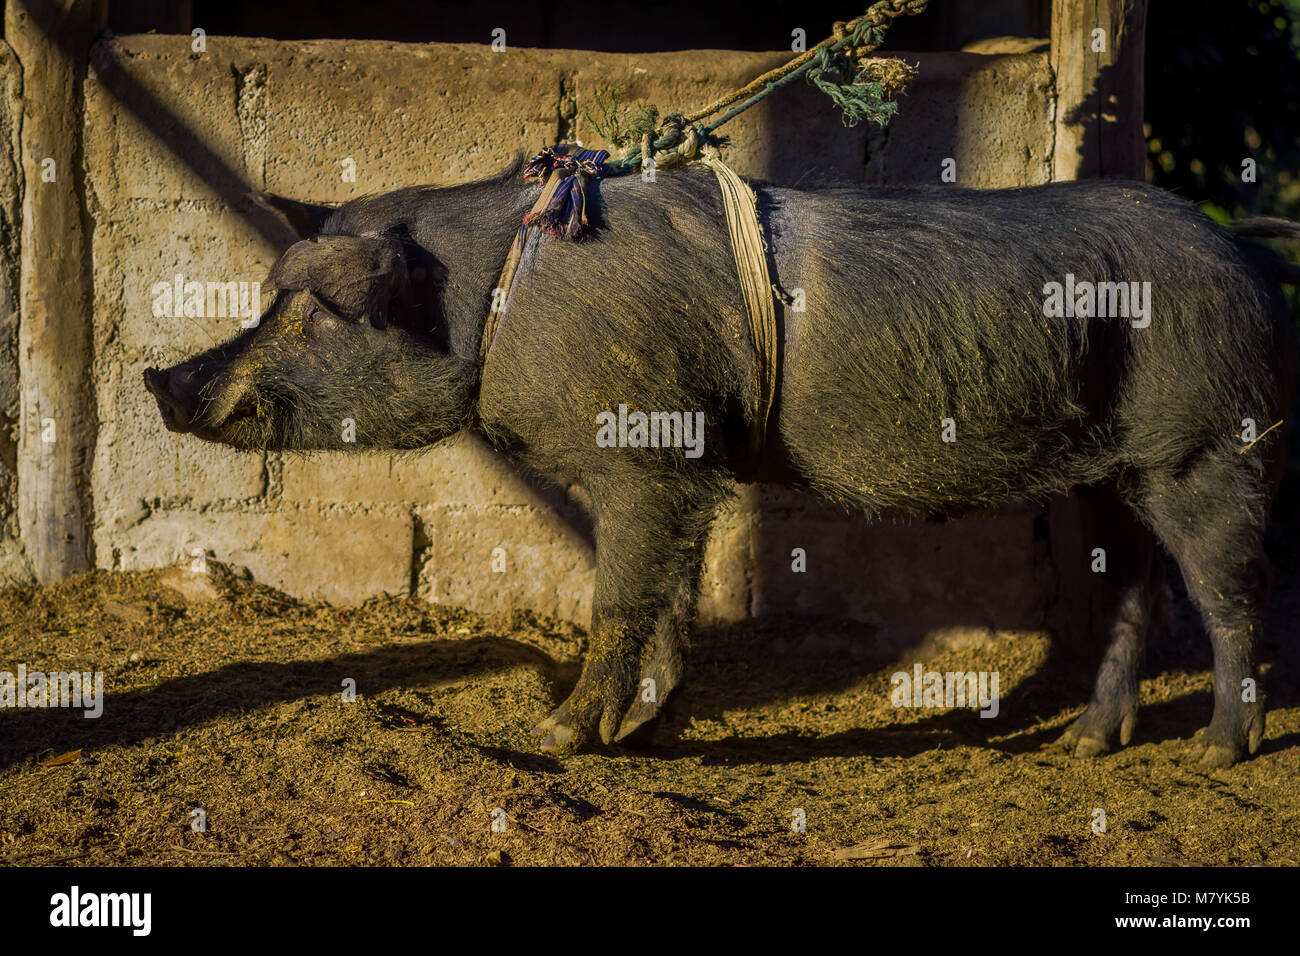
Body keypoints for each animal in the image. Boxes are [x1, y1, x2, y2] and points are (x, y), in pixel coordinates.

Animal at [145, 163, 1298, 767]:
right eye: (270, 300)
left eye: (308, 313)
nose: (160, 379)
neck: (495, 307)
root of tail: (1247, 255)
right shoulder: (685, 462)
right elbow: (667, 600)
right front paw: (648, 727)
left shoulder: (647, 450)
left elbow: (620, 595)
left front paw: (554, 734)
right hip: (1112, 472)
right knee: (1138, 589)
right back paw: (1087, 747)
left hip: (1209, 446)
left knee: (1232, 593)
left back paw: (1219, 750)